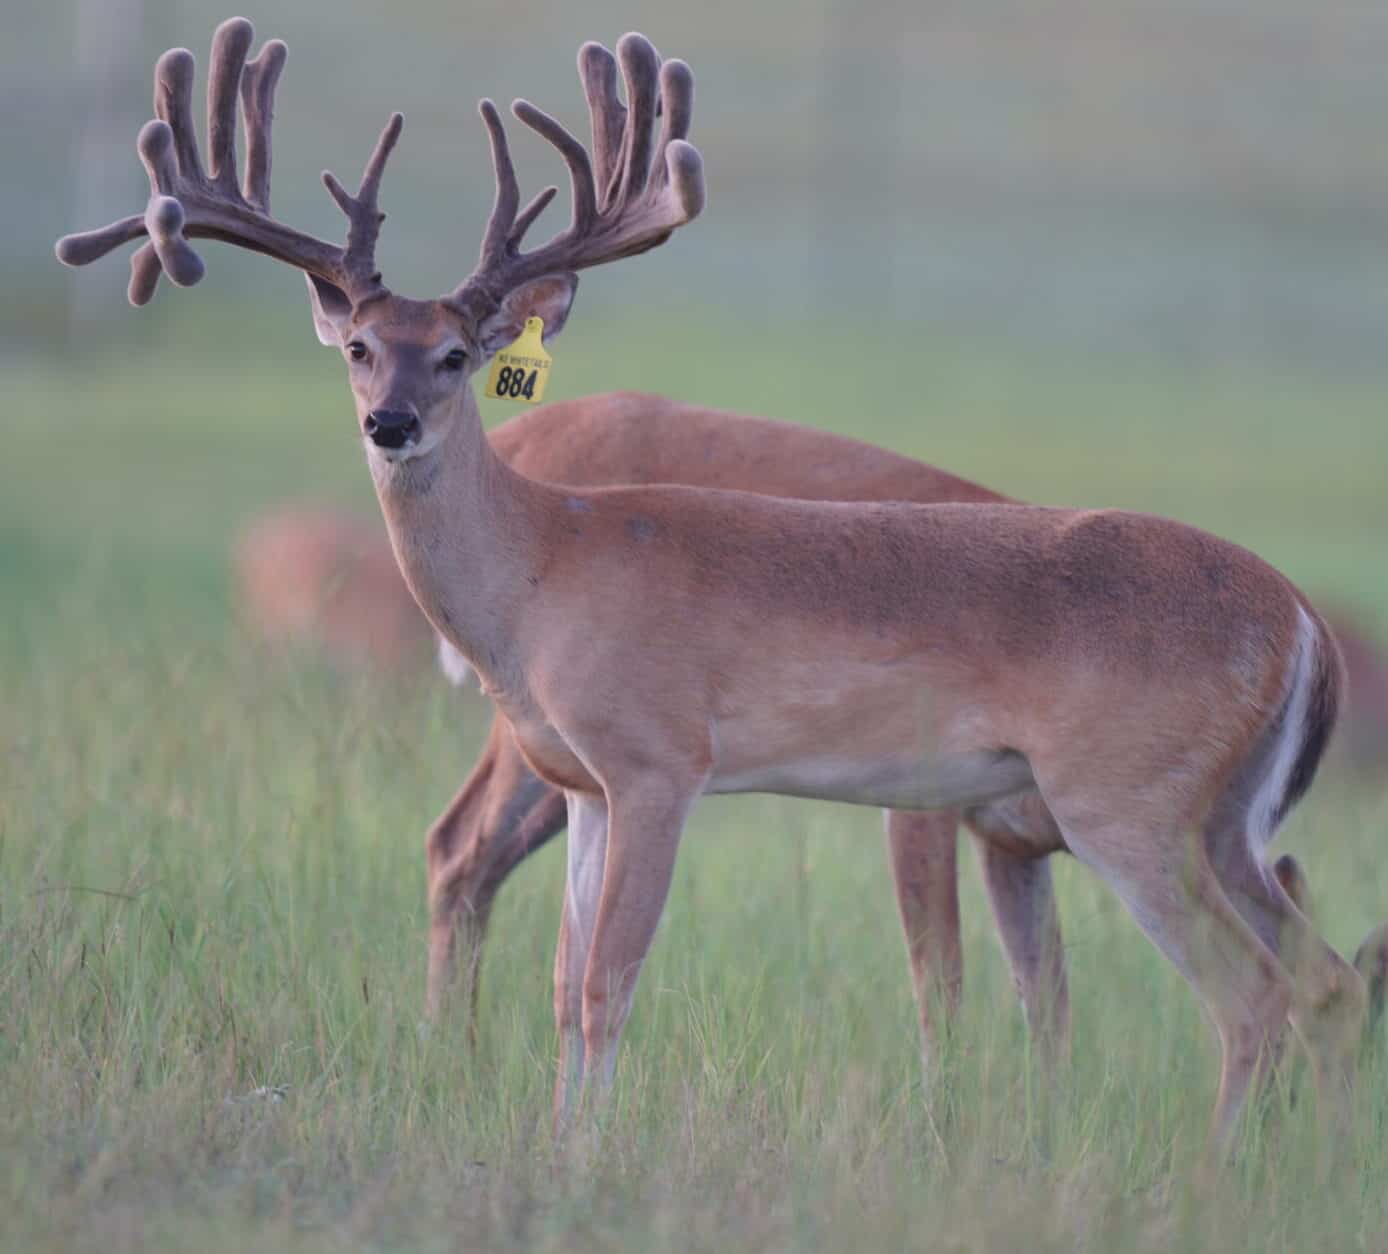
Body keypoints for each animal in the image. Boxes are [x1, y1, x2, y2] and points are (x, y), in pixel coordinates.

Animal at [58, 17, 1376, 1150]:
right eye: (358, 348)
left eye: (457, 356)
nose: (389, 423)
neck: (542, 568)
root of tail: (1299, 620)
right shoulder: (581, 780)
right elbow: (561, 984)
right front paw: (559, 1143)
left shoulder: (657, 759)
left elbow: (607, 981)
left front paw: (585, 1160)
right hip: (1218, 818)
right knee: (1320, 977)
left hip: (1127, 802)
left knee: (1248, 995)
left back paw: (1216, 1171)